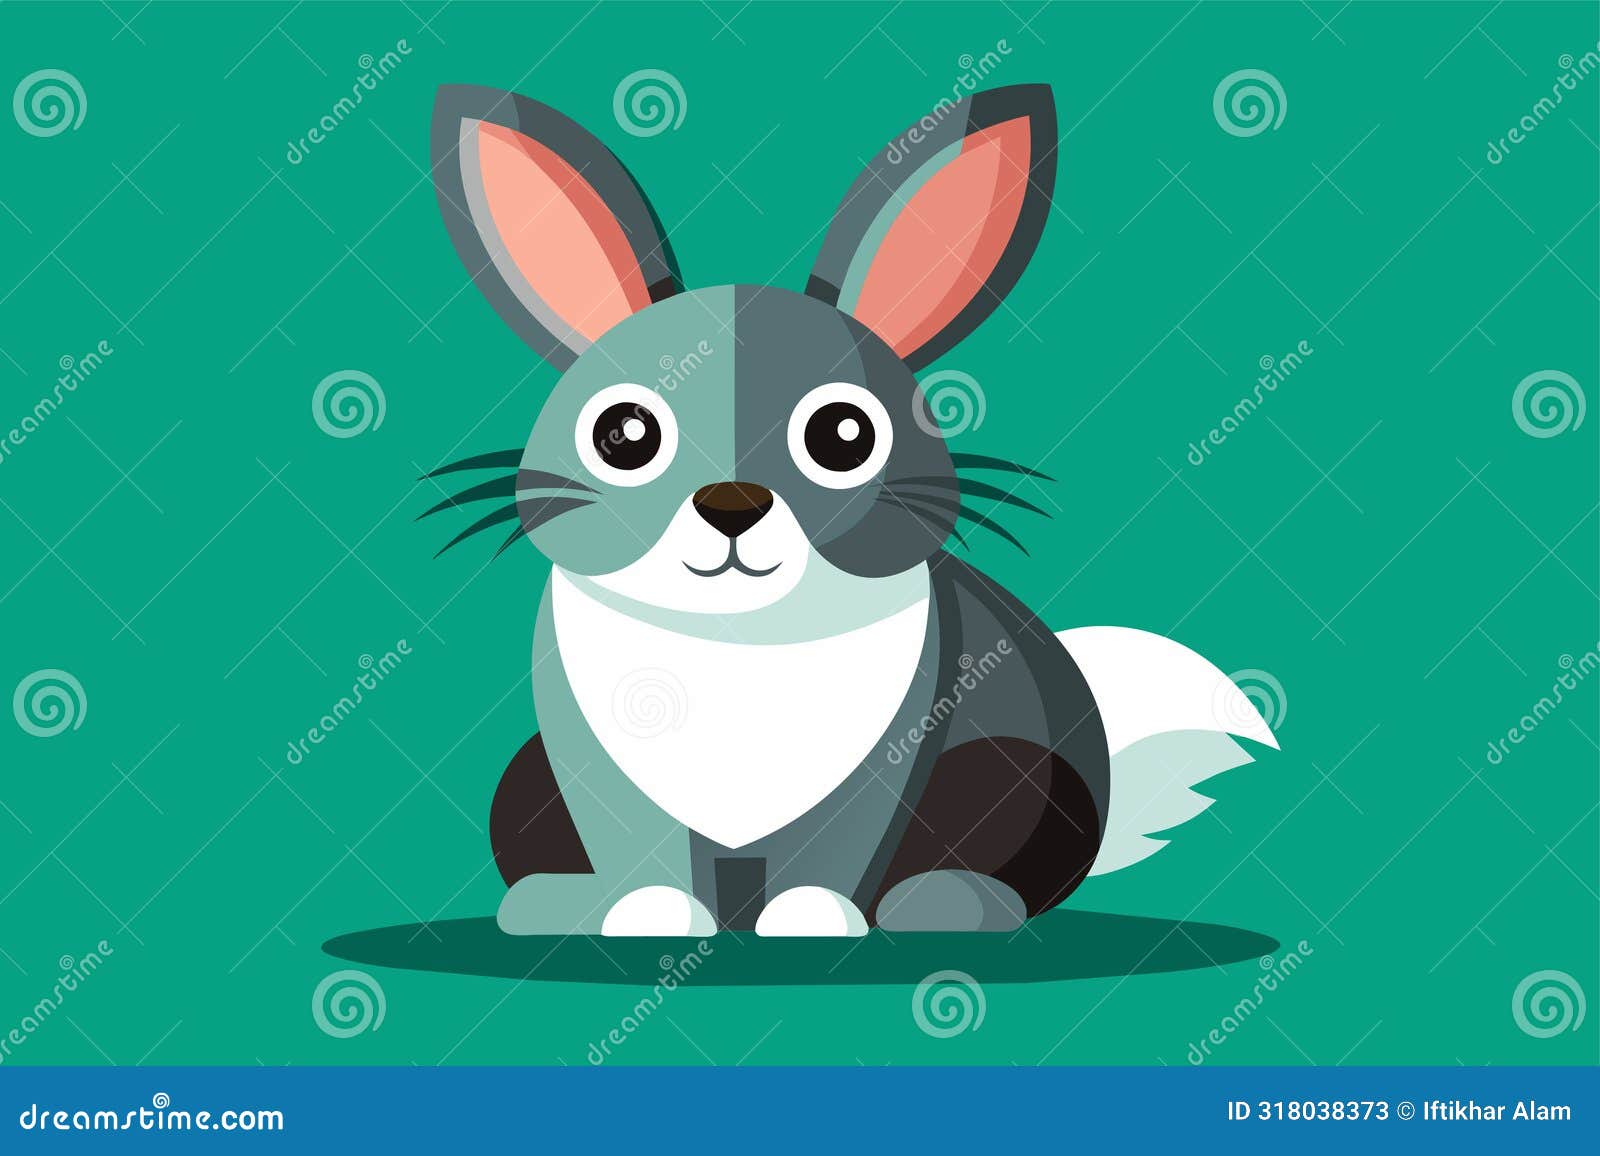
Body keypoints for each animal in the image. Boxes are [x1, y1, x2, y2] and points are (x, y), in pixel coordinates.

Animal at [423, 83, 1278, 936]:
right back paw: (552, 905)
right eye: (624, 435)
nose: (731, 504)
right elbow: (635, 841)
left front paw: (812, 916)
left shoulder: (899, 742)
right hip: (526, 776)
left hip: (1020, 777)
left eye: (843, 436)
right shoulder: (588, 751)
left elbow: (846, 840)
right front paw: (652, 914)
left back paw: (943, 902)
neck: (739, 635)